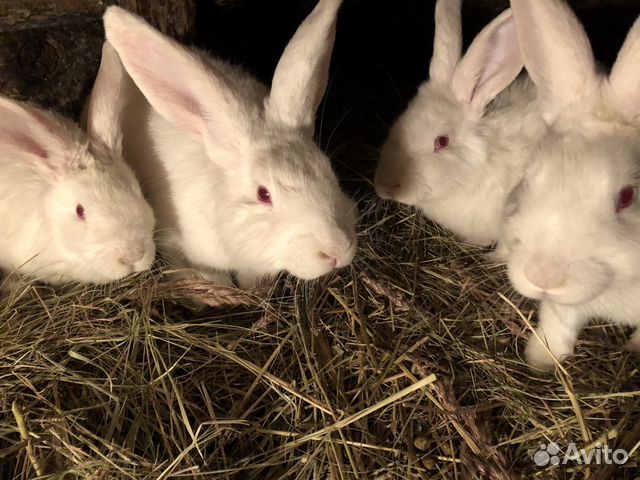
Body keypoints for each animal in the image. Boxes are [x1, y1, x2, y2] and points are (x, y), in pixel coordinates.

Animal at [499, 0, 640, 369]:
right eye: (529, 178)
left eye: (627, 196)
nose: (543, 277)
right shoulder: (562, 308)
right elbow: (558, 325)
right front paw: (541, 360)